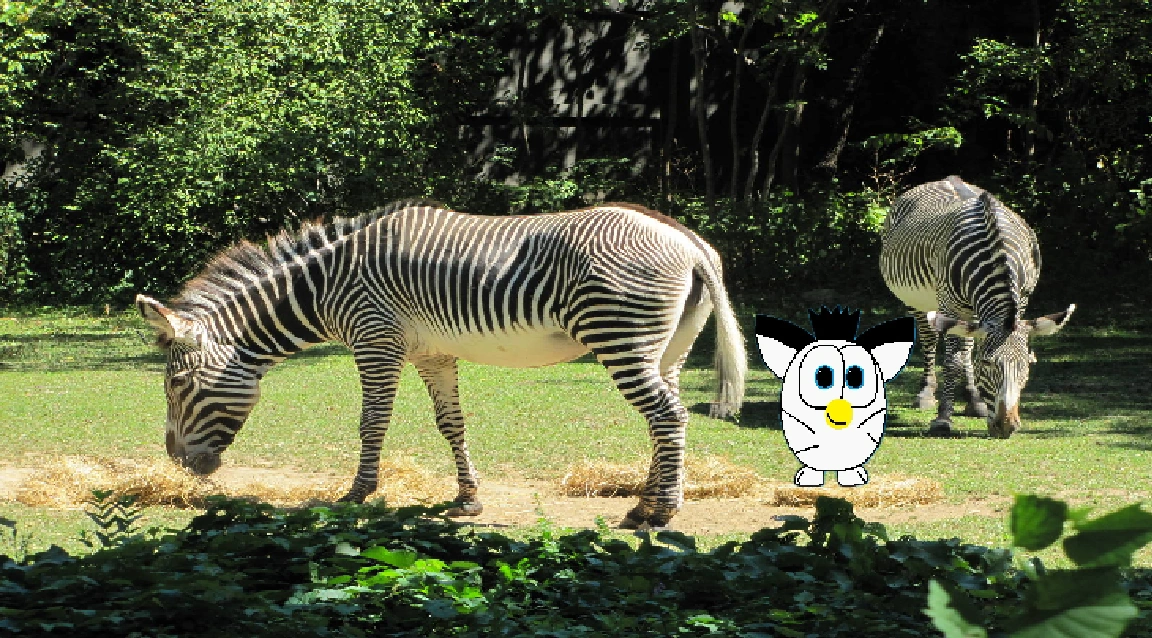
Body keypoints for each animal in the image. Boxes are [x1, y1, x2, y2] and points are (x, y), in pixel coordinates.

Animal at [136, 201, 747, 529]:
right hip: (667, 348)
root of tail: (687, 241)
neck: (326, 285)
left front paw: (357, 493)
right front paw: (467, 497)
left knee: (668, 417)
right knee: (663, 420)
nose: (179, 465)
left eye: (178, 384)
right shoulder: (431, 351)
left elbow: (372, 423)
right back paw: (644, 504)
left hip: (619, 334)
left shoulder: (375, 339)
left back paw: (660, 513)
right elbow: (451, 423)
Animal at [879, 176, 1075, 438]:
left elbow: (969, 352)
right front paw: (943, 419)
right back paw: (926, 394)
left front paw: (975, 400)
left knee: (967, 346)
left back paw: (973, 400)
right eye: (988, 364)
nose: (1007, 427)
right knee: (931, 339)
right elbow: (952, 361)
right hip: (918, 300)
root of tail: (944, 179)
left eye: (1026, 366)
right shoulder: (950, 306)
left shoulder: (1020, 302)